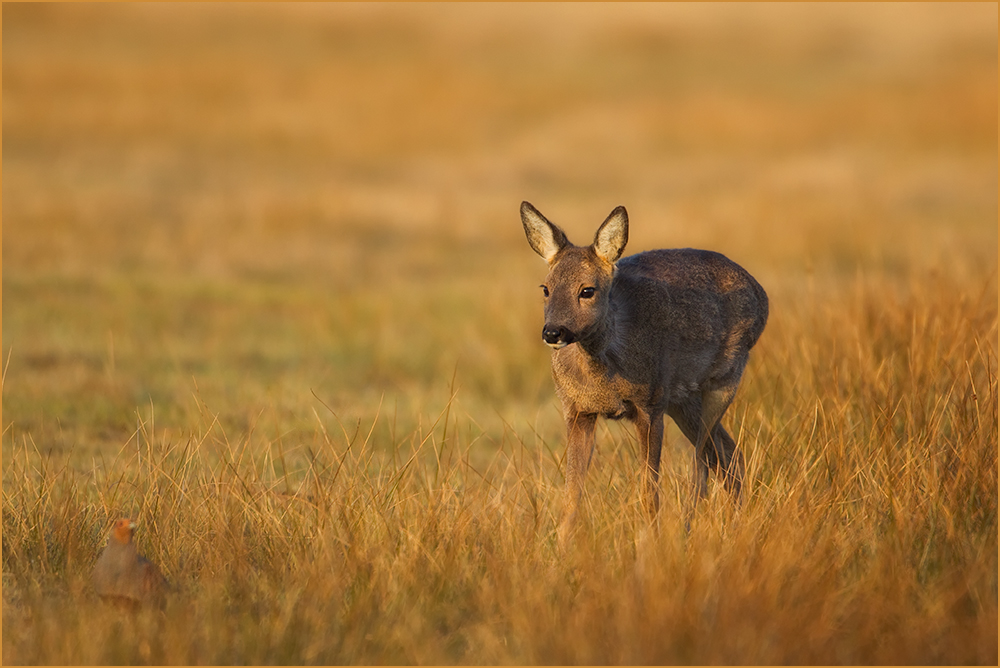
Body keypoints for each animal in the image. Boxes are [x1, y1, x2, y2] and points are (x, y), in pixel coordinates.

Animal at [520, 200, 768, 544]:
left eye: (587, 290)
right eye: (545, 288)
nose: (553, 332)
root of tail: (762, 295)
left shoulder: (649, 406)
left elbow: (649, 491)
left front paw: (649, 542)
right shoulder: (577, 410)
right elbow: (571, 496)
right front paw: (561, 549)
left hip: (724, 377)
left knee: (704, 463)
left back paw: (695, 530)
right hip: (681, 400)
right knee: (726, 453)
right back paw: (734, 527)